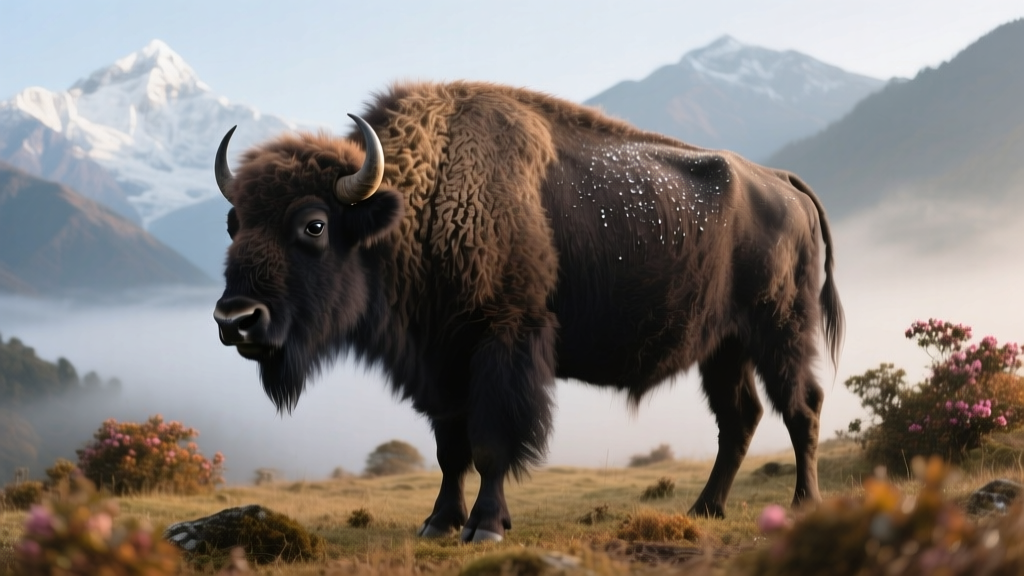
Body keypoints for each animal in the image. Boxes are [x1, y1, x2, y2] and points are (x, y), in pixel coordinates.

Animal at [213, 81, 843, 542]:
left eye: (314, 225)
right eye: (234, 223)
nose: (234, 319)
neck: (423, 200)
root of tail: (782, 185)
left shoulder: (502, 344)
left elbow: (492, 443)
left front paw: (487, 527)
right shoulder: (441, 365)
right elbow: (450, 450)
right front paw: (439, 523)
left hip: (778, 332)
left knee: (801, 407)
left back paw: (803, 504)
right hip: (723, 348)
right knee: (741, 419)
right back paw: (704, 510)